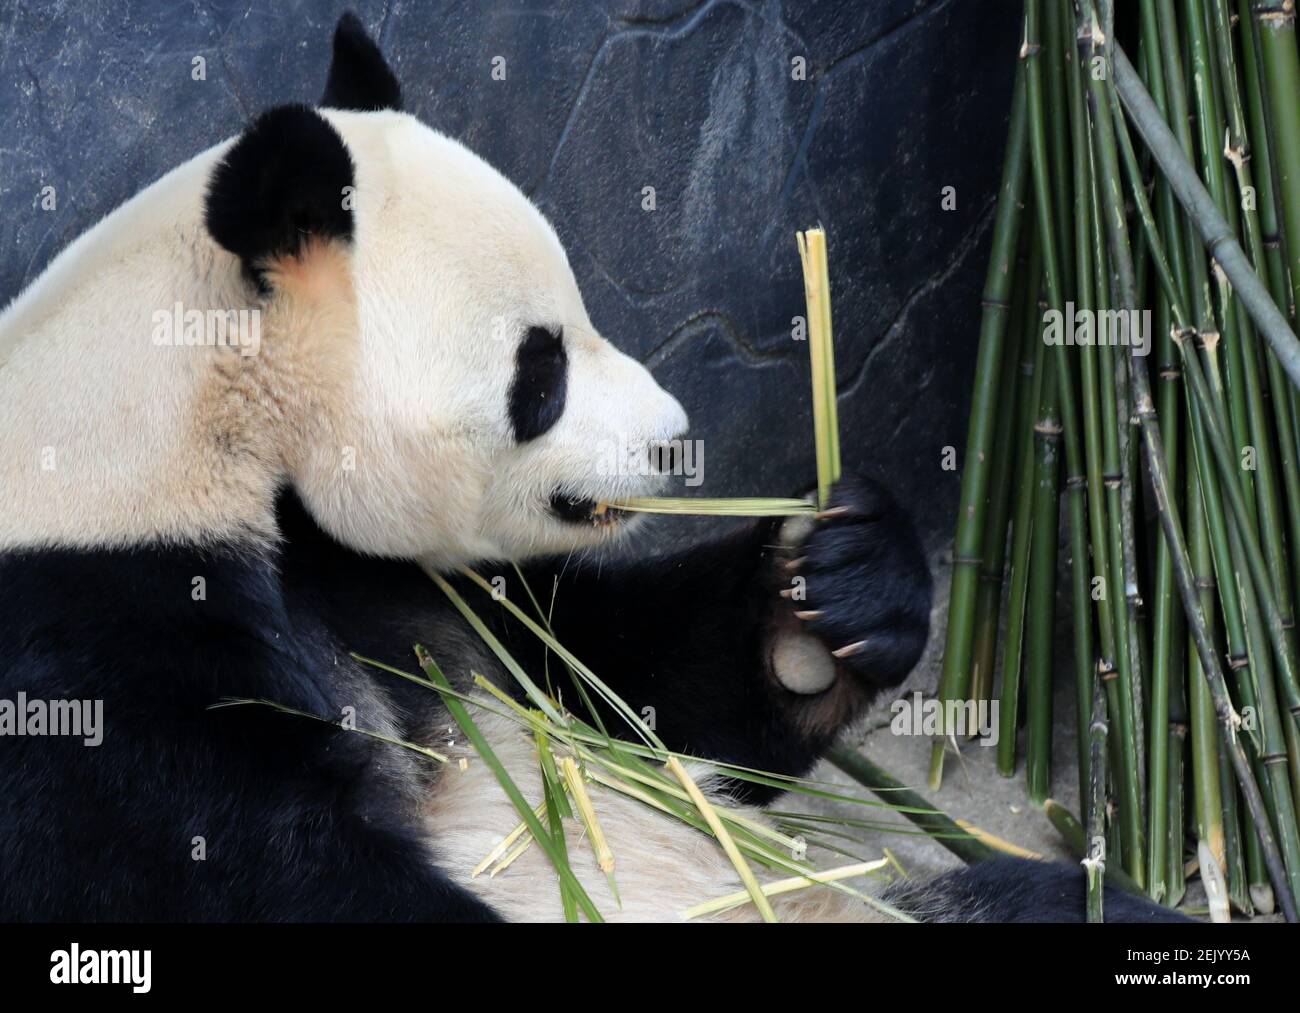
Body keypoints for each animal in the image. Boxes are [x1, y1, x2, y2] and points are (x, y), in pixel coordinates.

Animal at [0, 13, 1181, 924]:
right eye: (541, 370)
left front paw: (834, 583)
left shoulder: (397, 578)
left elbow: (620, 680)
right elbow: (259, 871)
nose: (670, 436)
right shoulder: (97, 653)